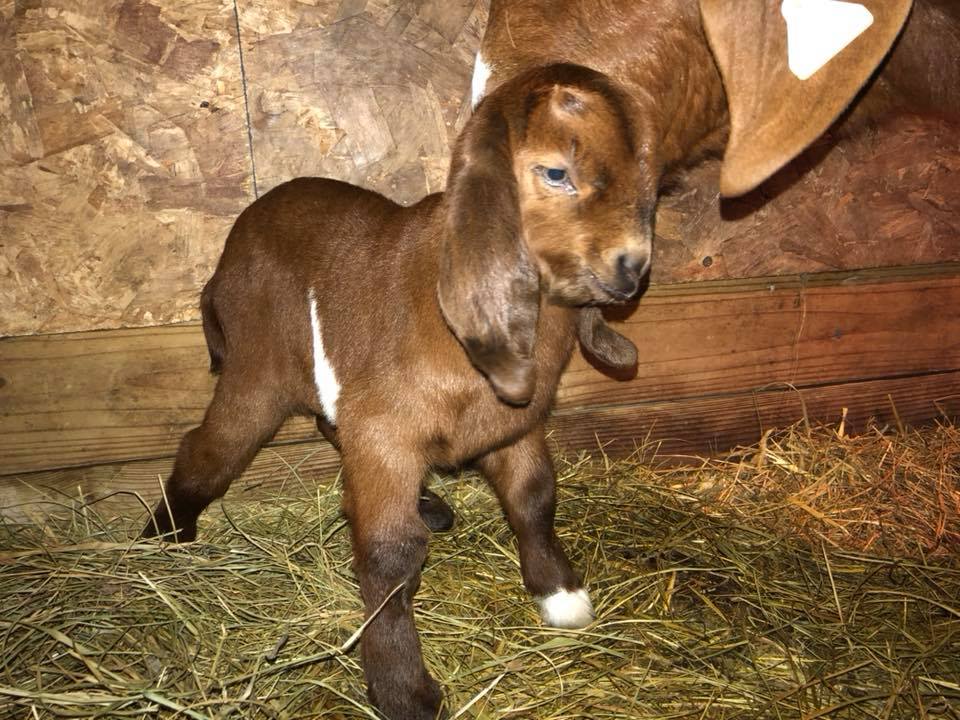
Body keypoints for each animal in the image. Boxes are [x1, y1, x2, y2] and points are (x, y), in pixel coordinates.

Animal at [143, 63, 647, 719]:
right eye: (557, 172)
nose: (632, 269)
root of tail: (216, 274)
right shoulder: (385, 433)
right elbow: (390, 554)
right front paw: (404, 690)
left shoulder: (513, 428)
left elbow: (535, 497)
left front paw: (561, 593)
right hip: (256, 375)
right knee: (209, 448)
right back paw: (164, 535)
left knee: (326, 425)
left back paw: (426, 503)